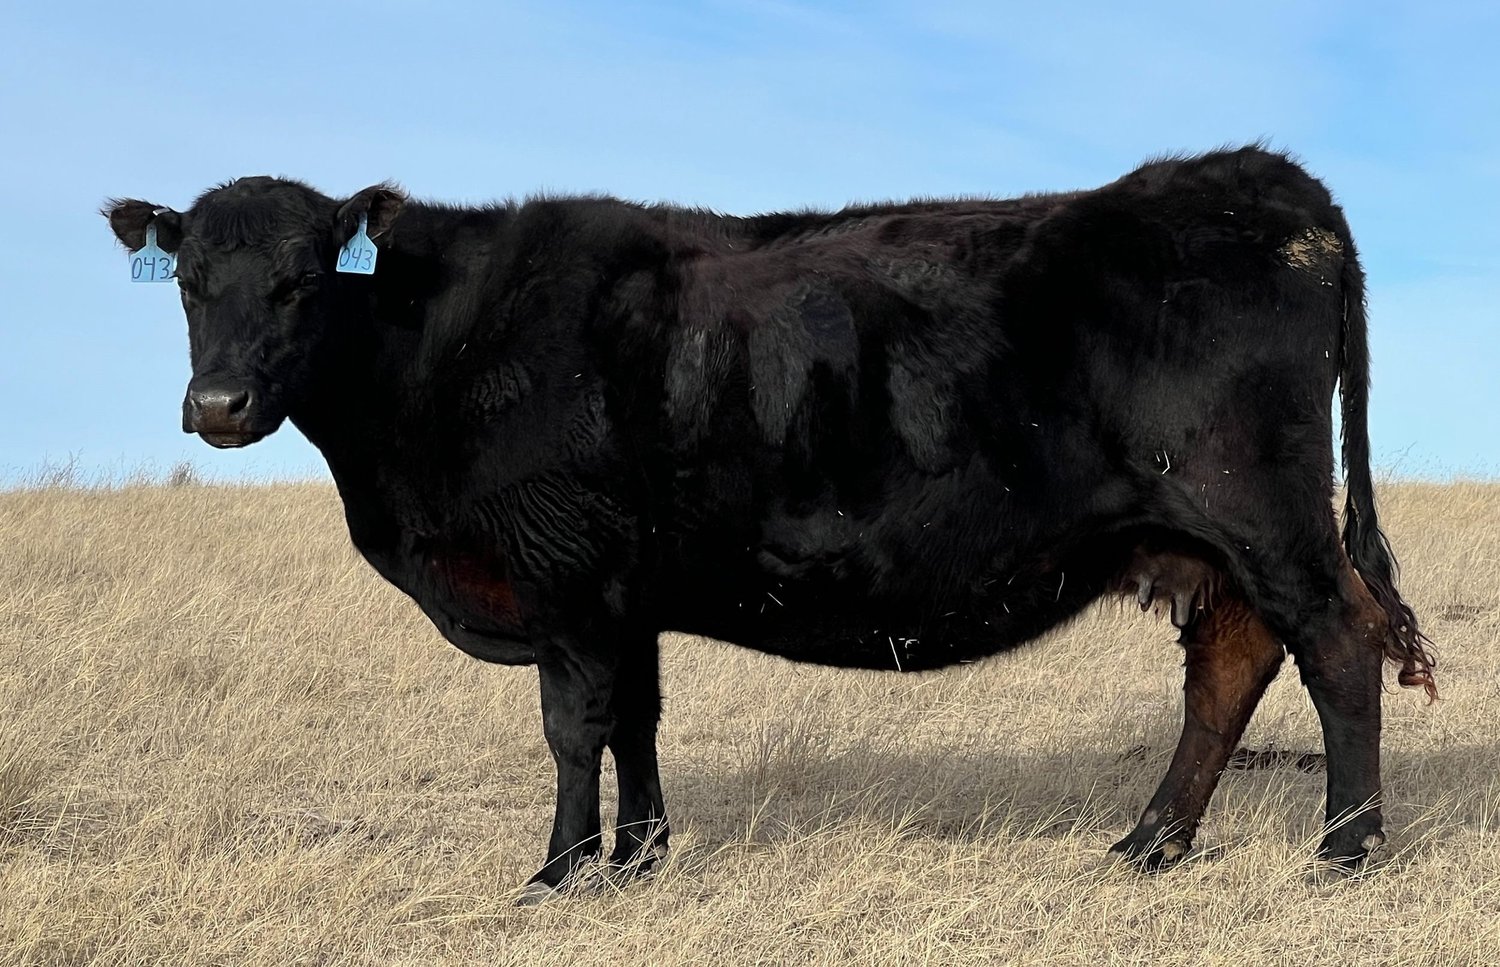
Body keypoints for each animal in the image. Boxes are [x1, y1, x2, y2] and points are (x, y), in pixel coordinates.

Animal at [105, 146, 1434, 902]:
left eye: (304, 278)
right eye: (189, 282)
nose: (218, 405)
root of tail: (1260, 178)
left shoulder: (568, 580)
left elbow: (572, 729)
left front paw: (560, 873)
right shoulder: (621, 595)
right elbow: (635, 720)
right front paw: (640, 858)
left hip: (1259, 510)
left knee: (1336, 646)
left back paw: (1344, 851)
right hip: (1211, 539)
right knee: (1229, 668)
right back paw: (1149, 844)